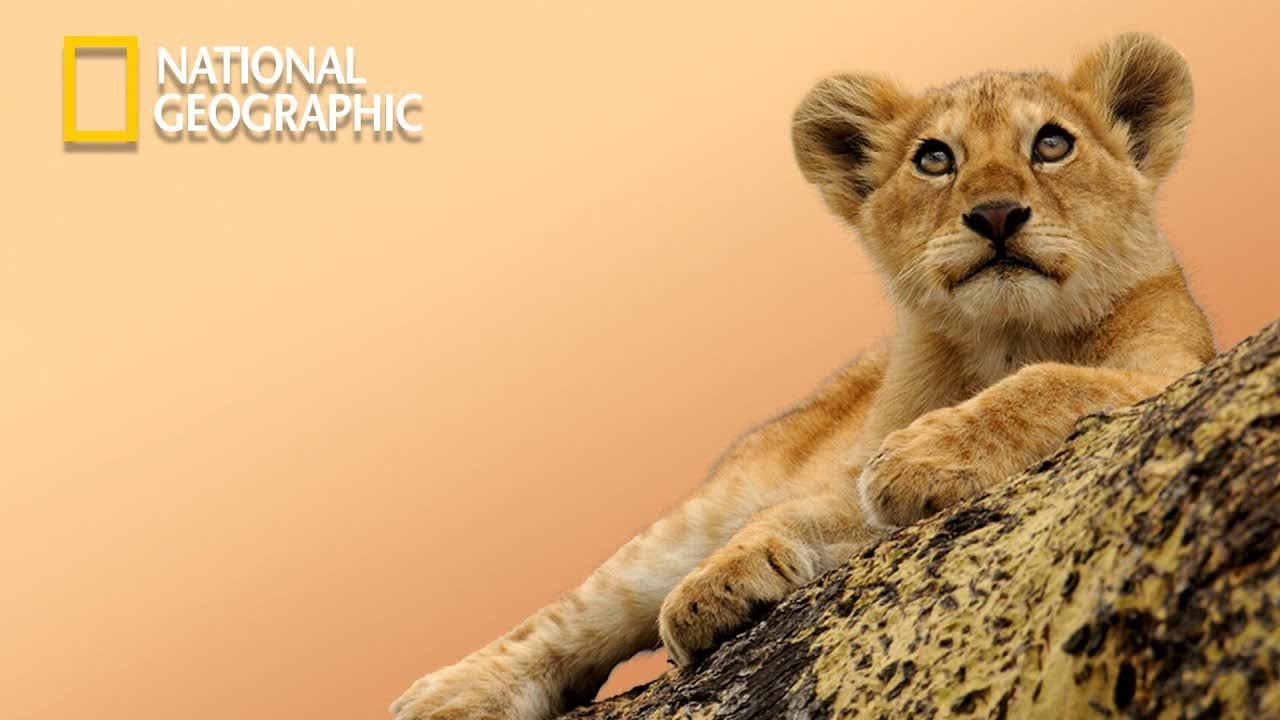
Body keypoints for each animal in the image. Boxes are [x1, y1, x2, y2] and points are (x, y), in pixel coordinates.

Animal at [391, 33, 1214, 719]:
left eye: (1052, 143)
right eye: (935, 158)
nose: (997, 214)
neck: (1002, 338)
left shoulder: (1170, 369)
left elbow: (1051, 384)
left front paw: (926, 457)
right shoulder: (840, 479)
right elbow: (800, 511)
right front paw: (716, 587)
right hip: (695, 514)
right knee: (580, 611)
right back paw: (449, 694)